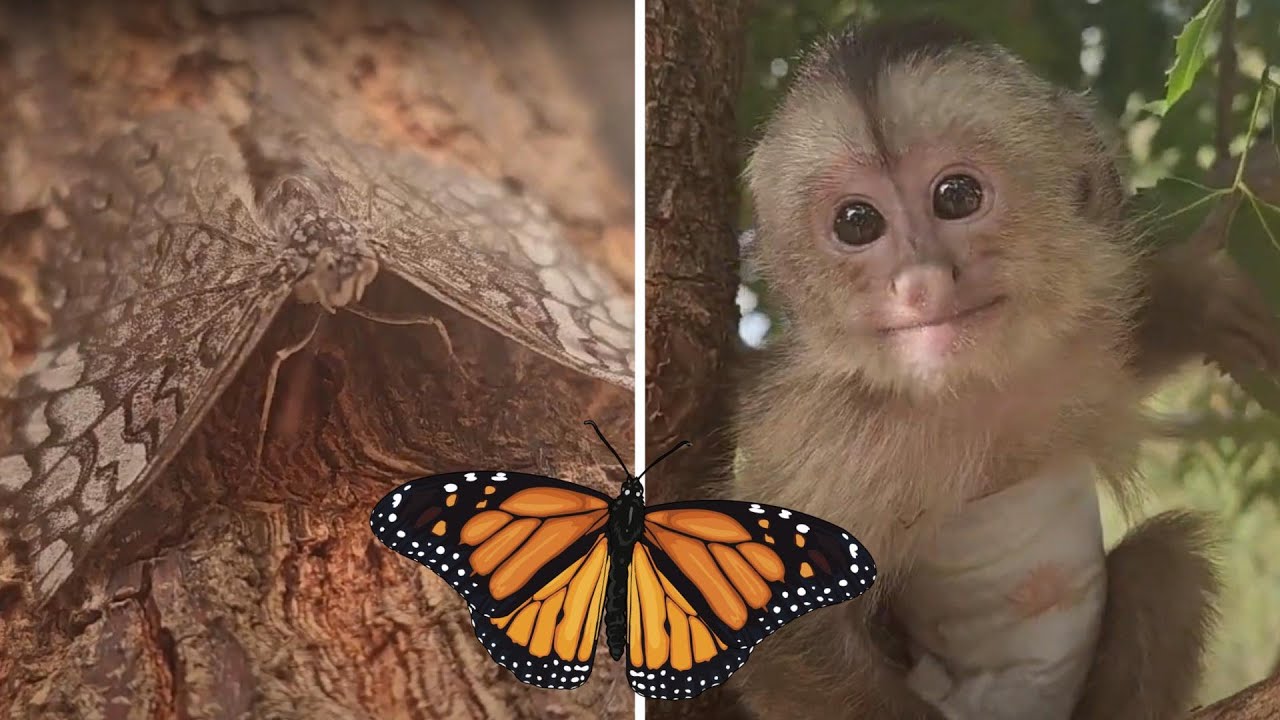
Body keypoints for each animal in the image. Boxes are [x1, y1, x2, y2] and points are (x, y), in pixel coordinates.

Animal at [725, 17, 1275, 720]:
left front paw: (1201, 301)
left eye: (956, 196)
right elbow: (777, 637)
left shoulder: (1085, 333)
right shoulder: (829, 430)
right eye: (857, 222)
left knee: (1169, 558)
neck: (974, 388)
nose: (921, 282)